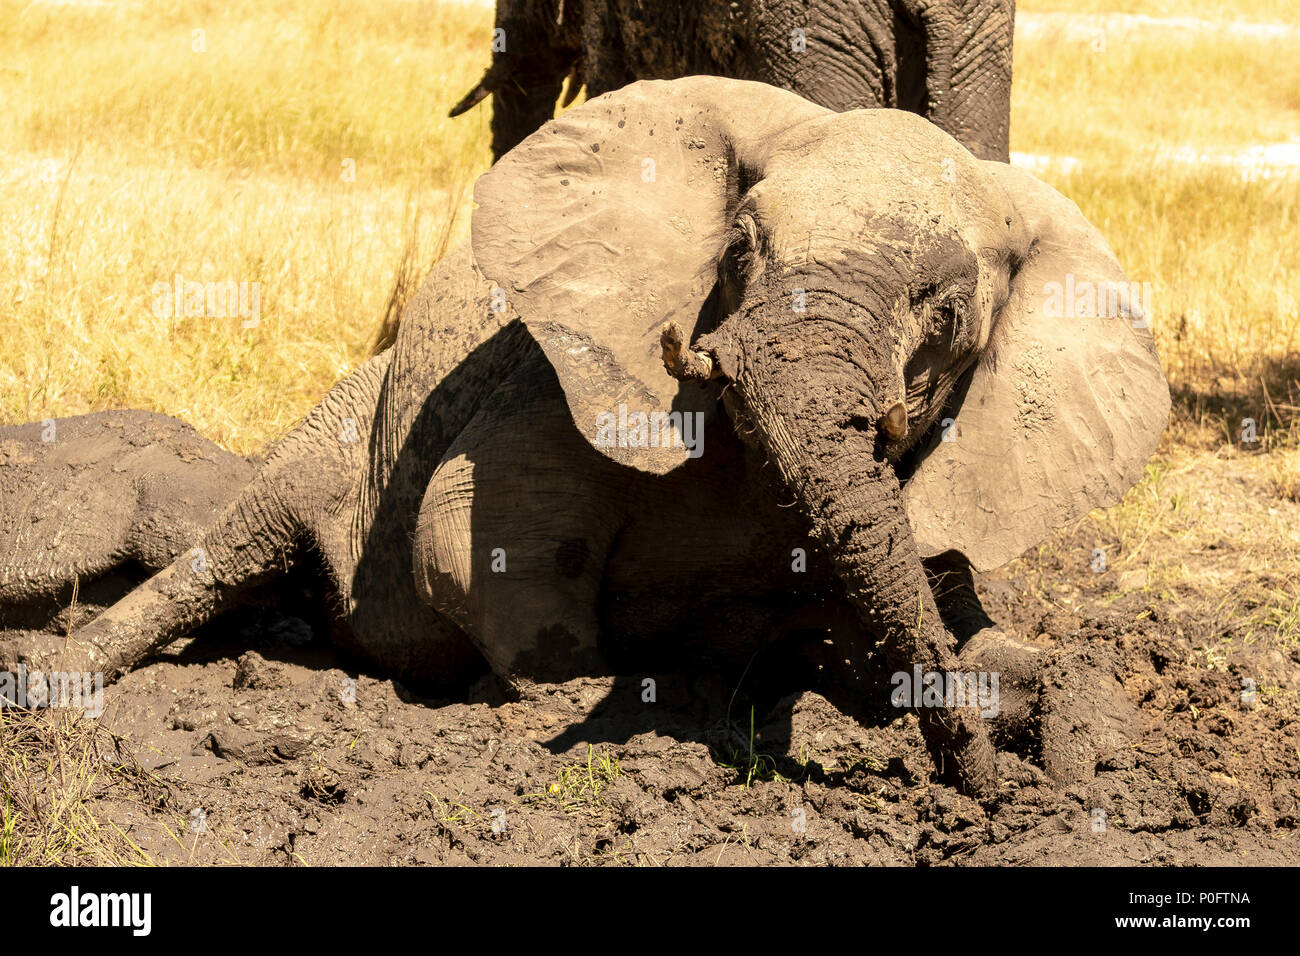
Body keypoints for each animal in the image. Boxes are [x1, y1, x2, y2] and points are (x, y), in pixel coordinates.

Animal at [0, 78, 1169, 798]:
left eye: (947, 319)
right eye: (738, 252)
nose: (974, 786)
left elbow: (939, 592)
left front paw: (1045, 714)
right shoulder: (554, 372)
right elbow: (475, 522)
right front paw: (591, 704)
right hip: (337, 427)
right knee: (225, 553)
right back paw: (53, 685)